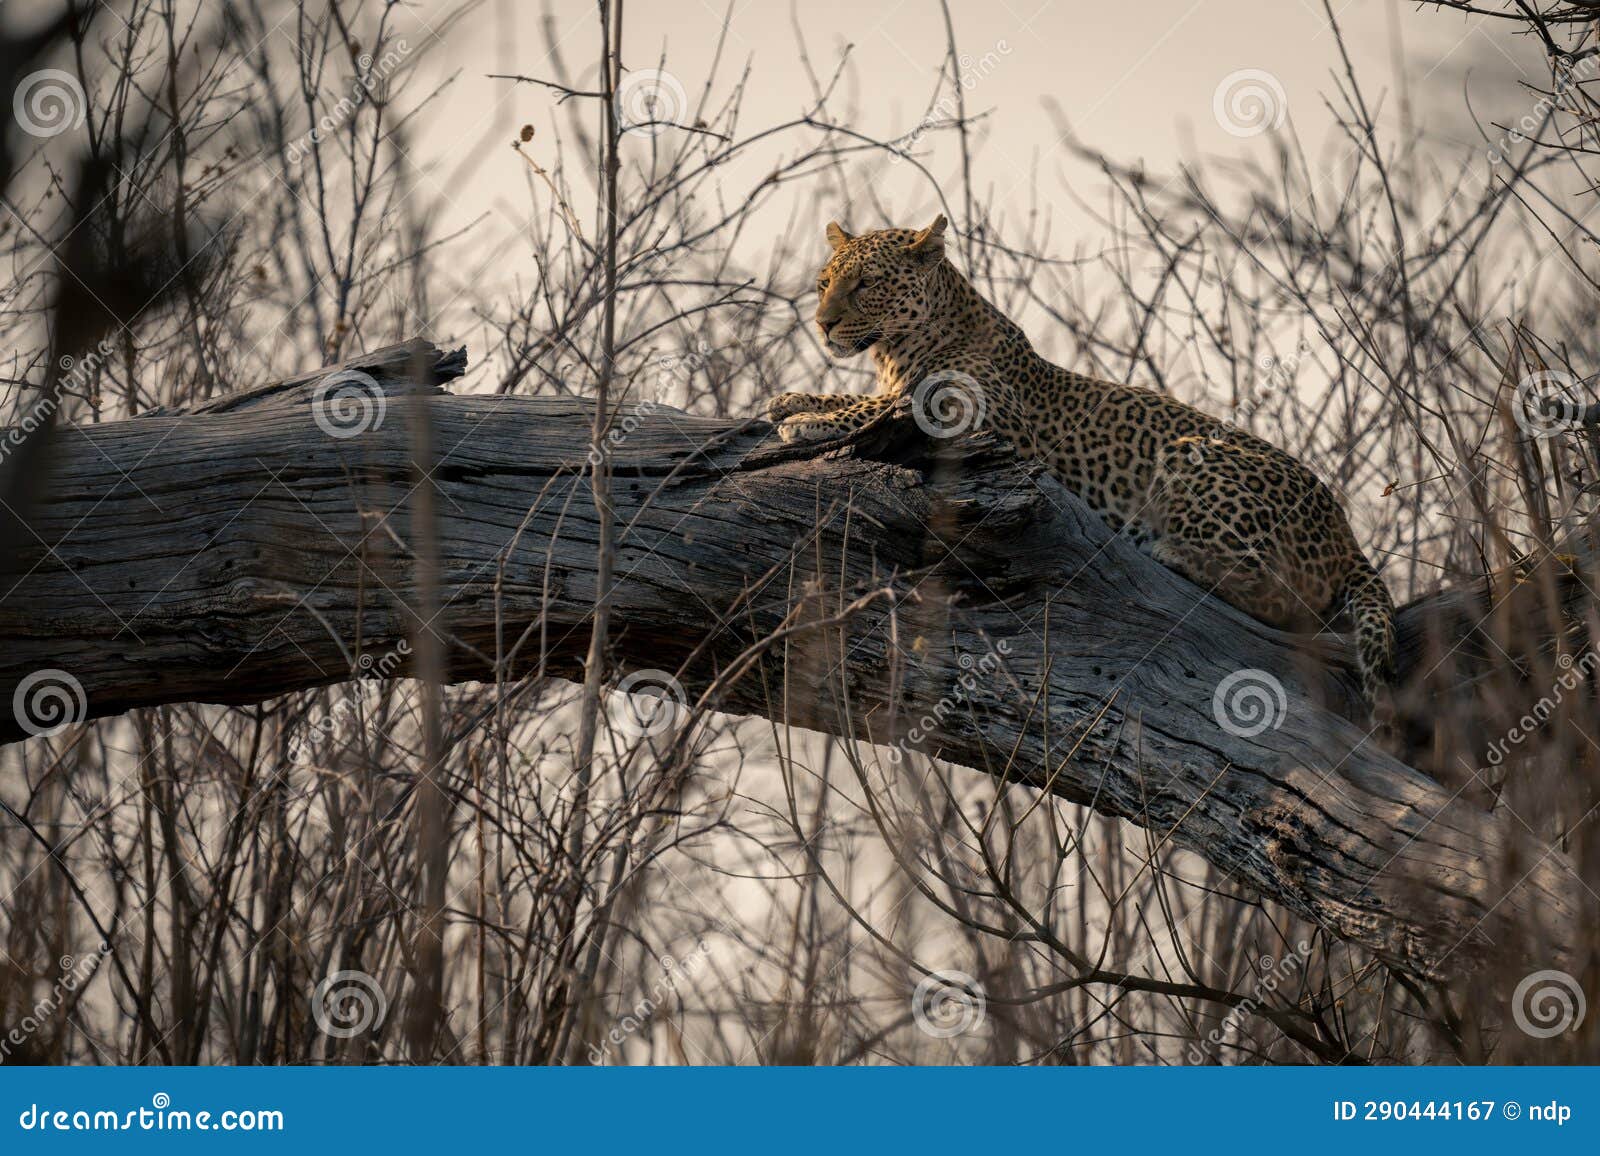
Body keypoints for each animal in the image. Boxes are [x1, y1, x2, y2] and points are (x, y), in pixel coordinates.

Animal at [767, 214, 1397, 714]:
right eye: (824, 283)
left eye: (866, 283)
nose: (822, 323)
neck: (897, 350)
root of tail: (1346, 534)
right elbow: (870, 396)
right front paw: (795, 399)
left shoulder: (994, 425)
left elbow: (894, 402)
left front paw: (810, 419)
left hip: (1192, 454)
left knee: (1287, 605)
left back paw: (1171, 553)